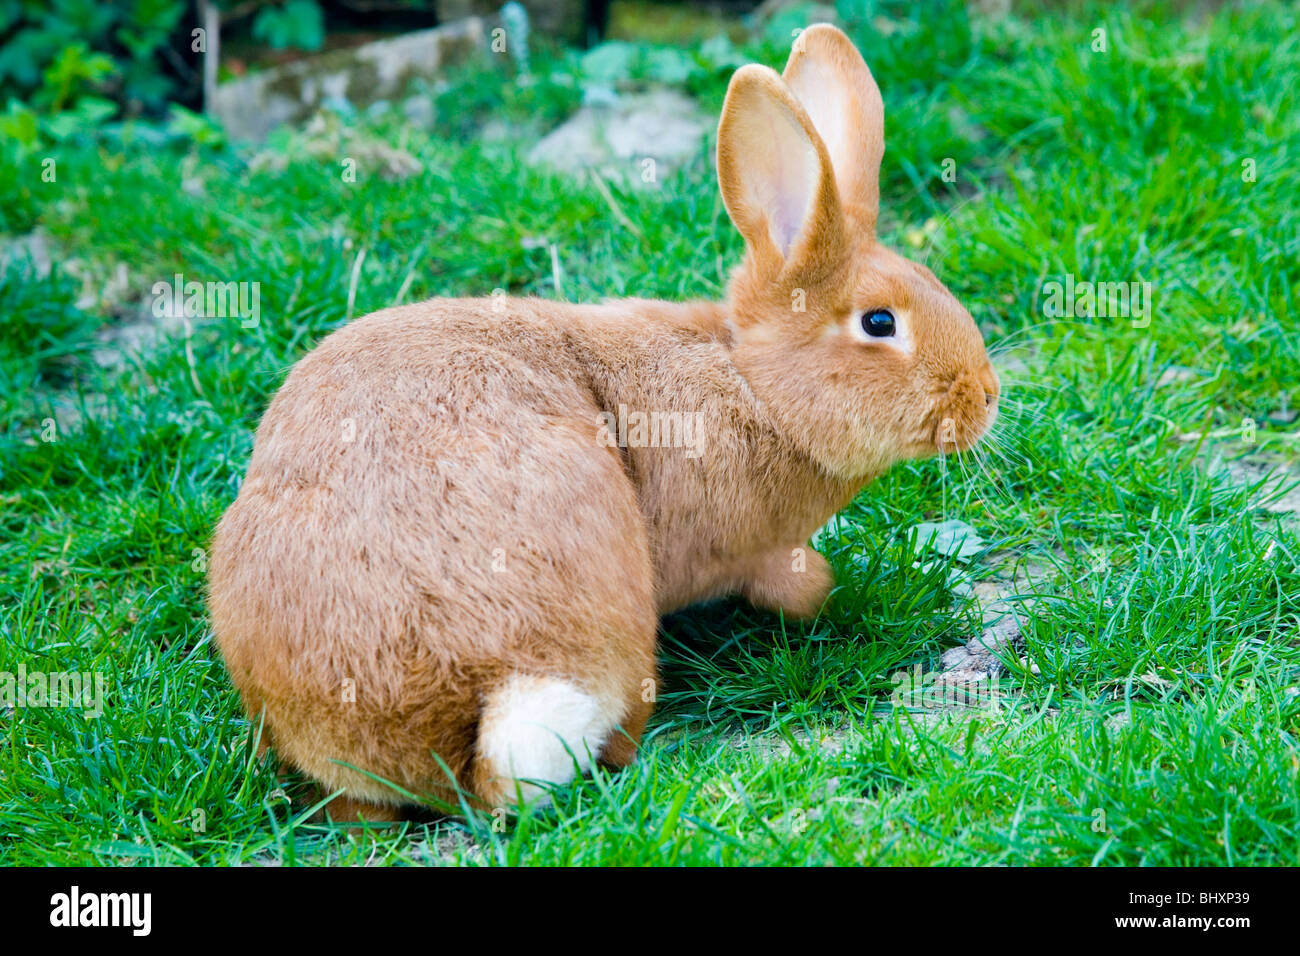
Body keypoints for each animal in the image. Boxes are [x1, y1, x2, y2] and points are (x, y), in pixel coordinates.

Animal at [208, 23, 1000, 822]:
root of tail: (458, 727)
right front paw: (821, 592)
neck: (751, 384)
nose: (985, 397)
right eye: (879, 323)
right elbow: (790, 581)